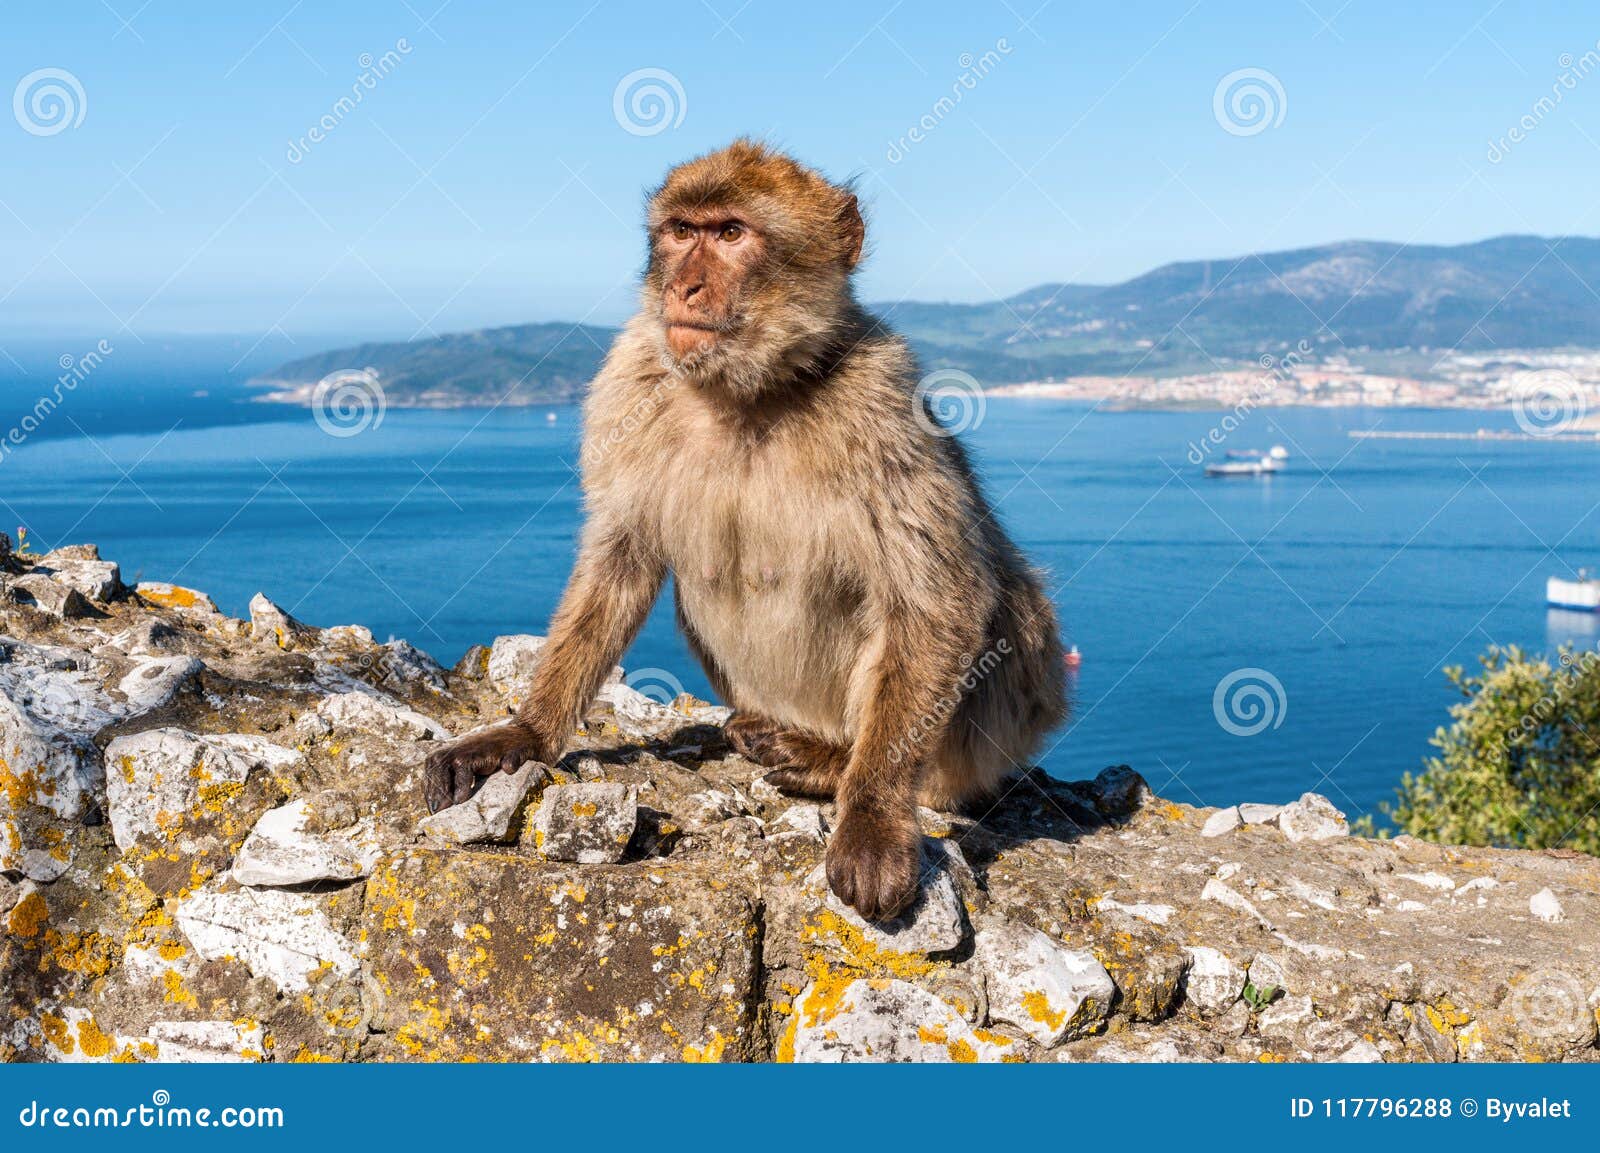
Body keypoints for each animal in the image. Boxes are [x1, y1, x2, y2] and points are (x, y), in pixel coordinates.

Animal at [424, 139, 1066, 921]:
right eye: (680, 231)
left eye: (731, 233)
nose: (684, 288)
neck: (748, 391)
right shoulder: (630, 377)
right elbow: (619, 557)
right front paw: (528, 732)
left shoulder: (882, 399)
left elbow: (938, 597)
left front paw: (873, 817)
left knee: (1007, 608)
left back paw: (829, 761)